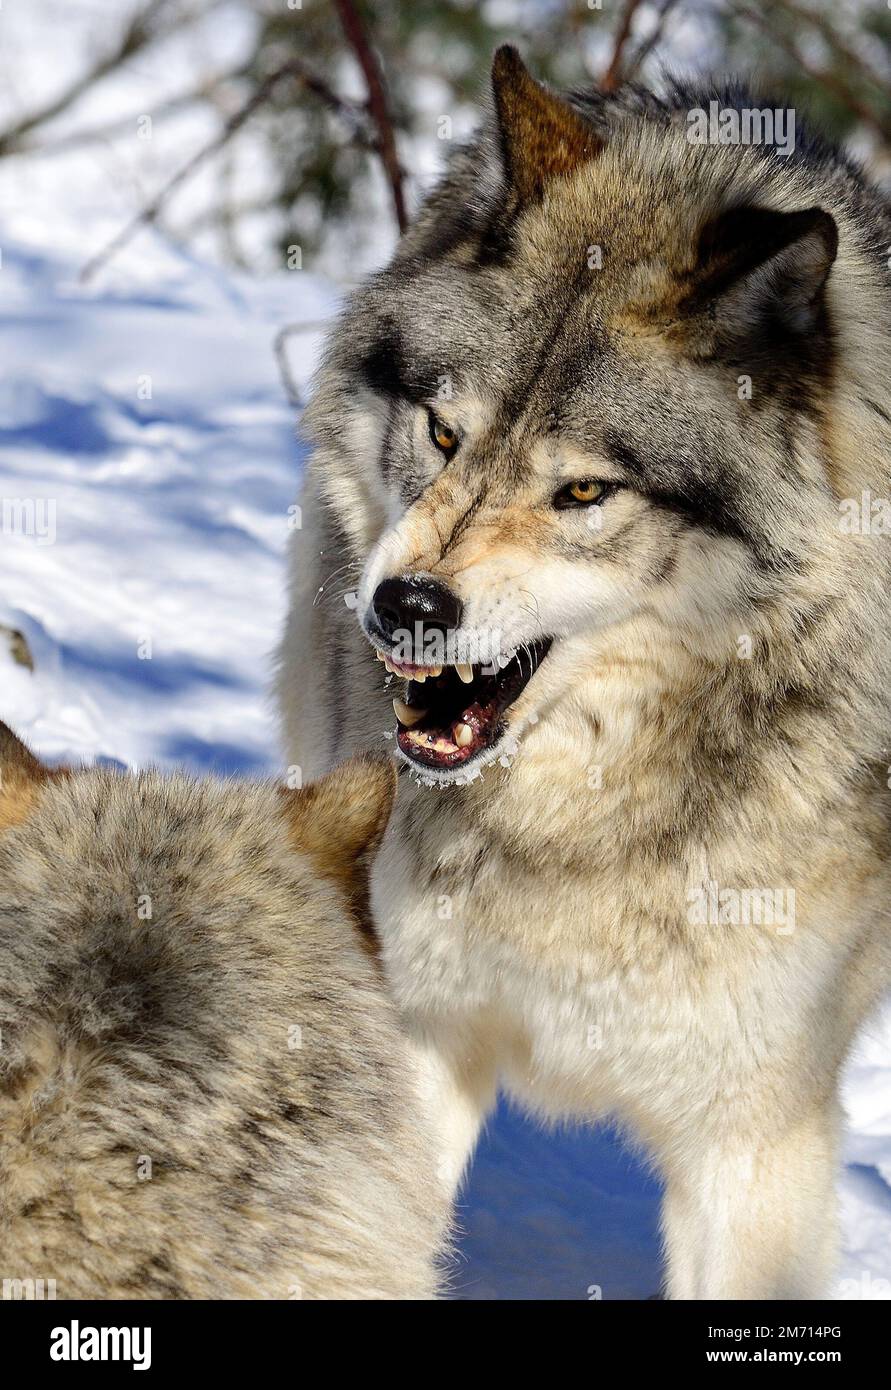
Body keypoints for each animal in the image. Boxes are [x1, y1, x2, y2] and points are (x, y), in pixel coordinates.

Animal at [276, 48, 891, 1298]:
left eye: (584, 492)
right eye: (446, 434)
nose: (407, 608)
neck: (572, 826)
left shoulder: (755, 1145)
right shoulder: (416, 1034)